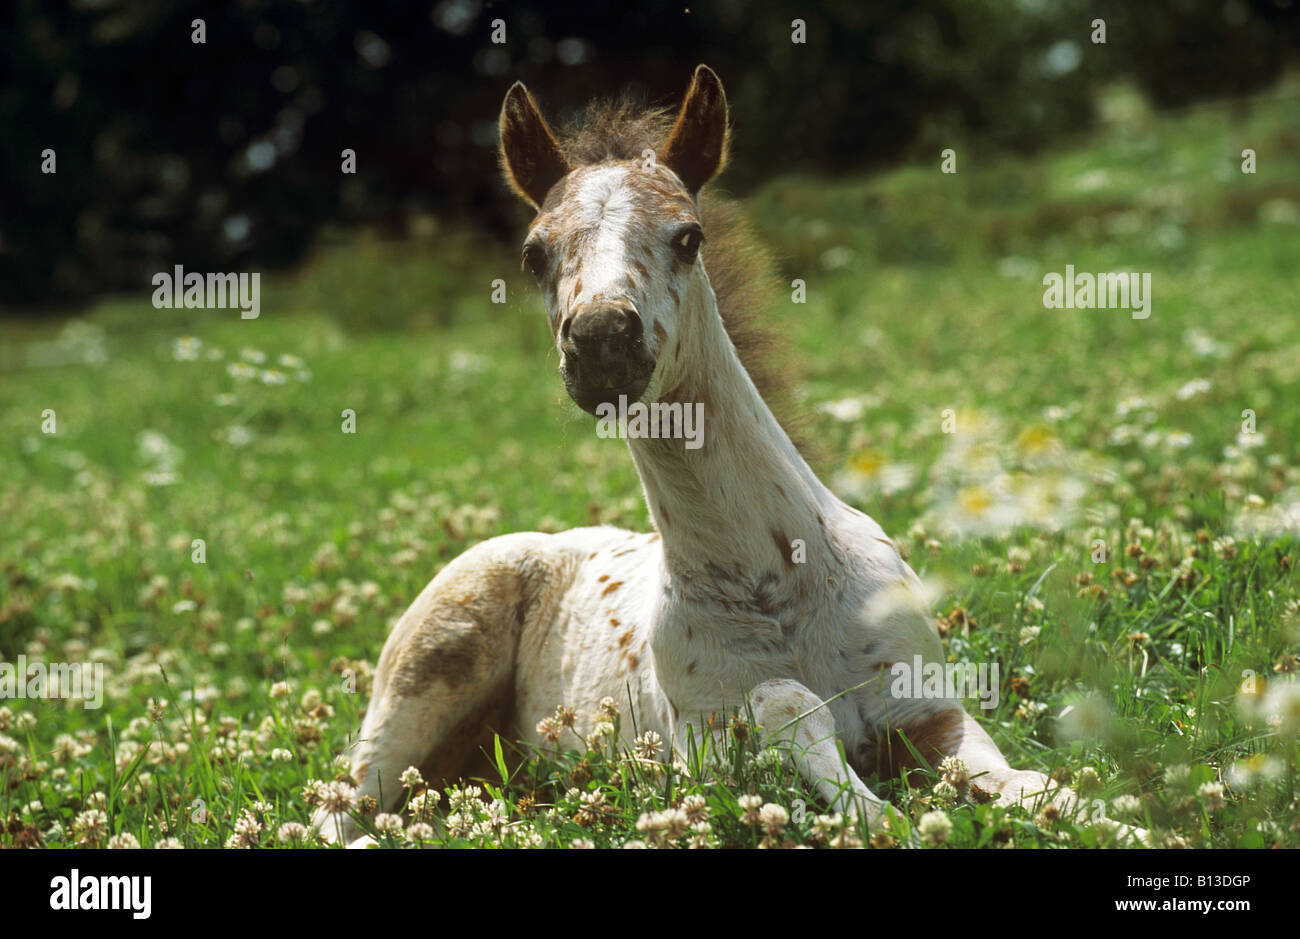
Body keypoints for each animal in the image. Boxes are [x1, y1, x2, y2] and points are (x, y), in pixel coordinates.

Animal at [313, 65, 1128, 847]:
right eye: (533, 253)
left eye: (688, 236)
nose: (602, 340)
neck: (775, 578)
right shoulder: (704, 756)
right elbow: (788, 713)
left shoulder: (934, 717)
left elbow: (1042, 787)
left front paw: (1123, 817)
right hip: (414, 703)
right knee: (342, 814)